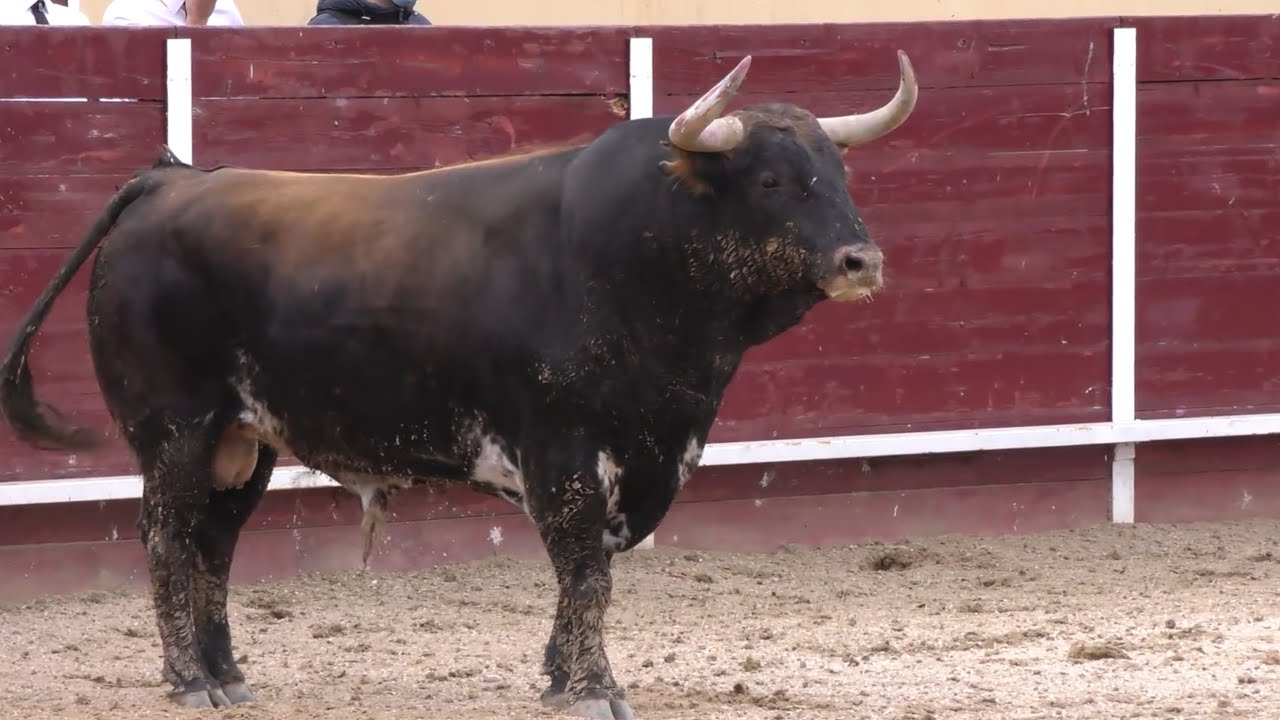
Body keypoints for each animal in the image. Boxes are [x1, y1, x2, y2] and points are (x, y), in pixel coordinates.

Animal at [0, 50, 917, 719]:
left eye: (840, 176)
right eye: (770, 180)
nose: (862, 261)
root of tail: (171, 180)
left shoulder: (648, 446)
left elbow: (588, 572)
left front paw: (562, 676)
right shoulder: (563, 448)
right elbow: (586, 569)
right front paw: (591, 691)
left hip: (243, 438)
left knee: (213, 546)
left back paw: (230, 677)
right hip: (176, 430)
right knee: (165, 538)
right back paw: (189, 681)